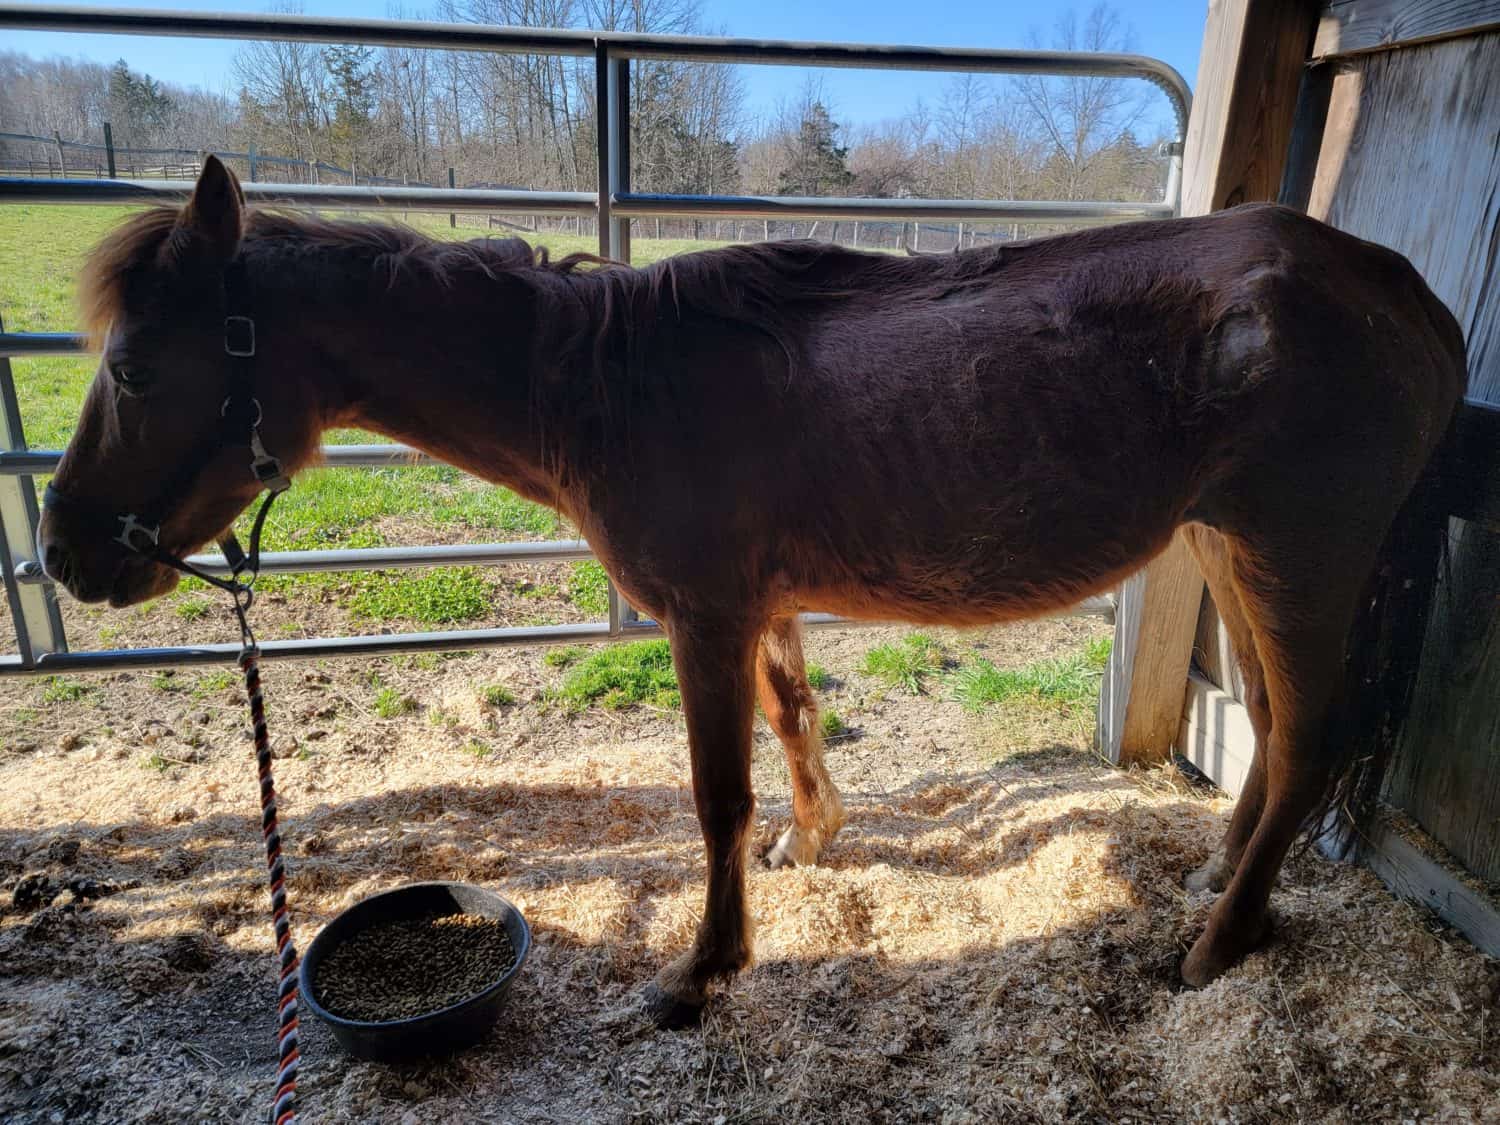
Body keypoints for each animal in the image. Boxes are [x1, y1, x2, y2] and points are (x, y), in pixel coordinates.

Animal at [39, 156, 1467, 1027]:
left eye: (141, 368)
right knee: (1274, 732)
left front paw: (699, 970)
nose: (62, 554)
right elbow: (793, 730)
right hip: (1231, 551)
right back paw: (1216, 885)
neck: (608, 382)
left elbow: (715, 793)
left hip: (1296, 556)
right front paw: (810, 846)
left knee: (1308, 743)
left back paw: (1220, 945)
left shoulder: (706, 617)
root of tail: (1402, 293)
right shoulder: (764, 608)